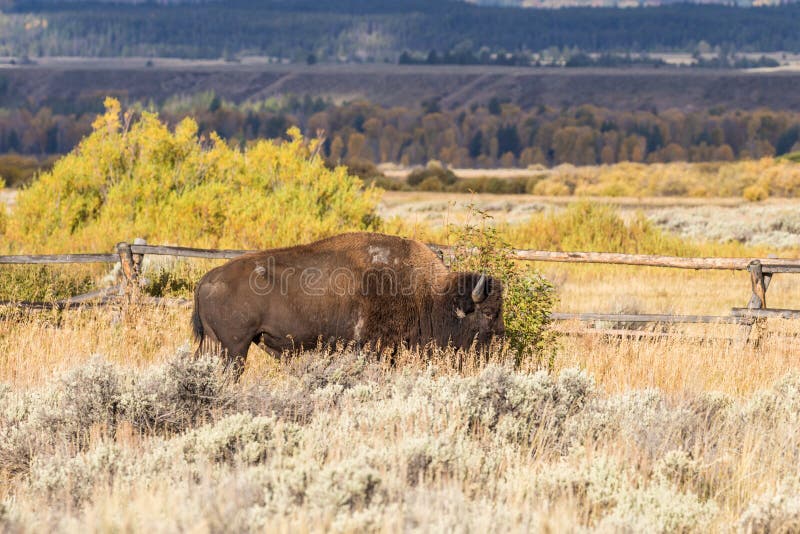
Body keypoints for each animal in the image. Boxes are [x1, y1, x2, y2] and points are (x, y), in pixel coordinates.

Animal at [192, 232, 504, 376]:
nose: (499, 345)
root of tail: (207, 279)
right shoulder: (374, 346)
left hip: (215, 344)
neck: (427, 294)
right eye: (488, 313)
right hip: (235, 348)